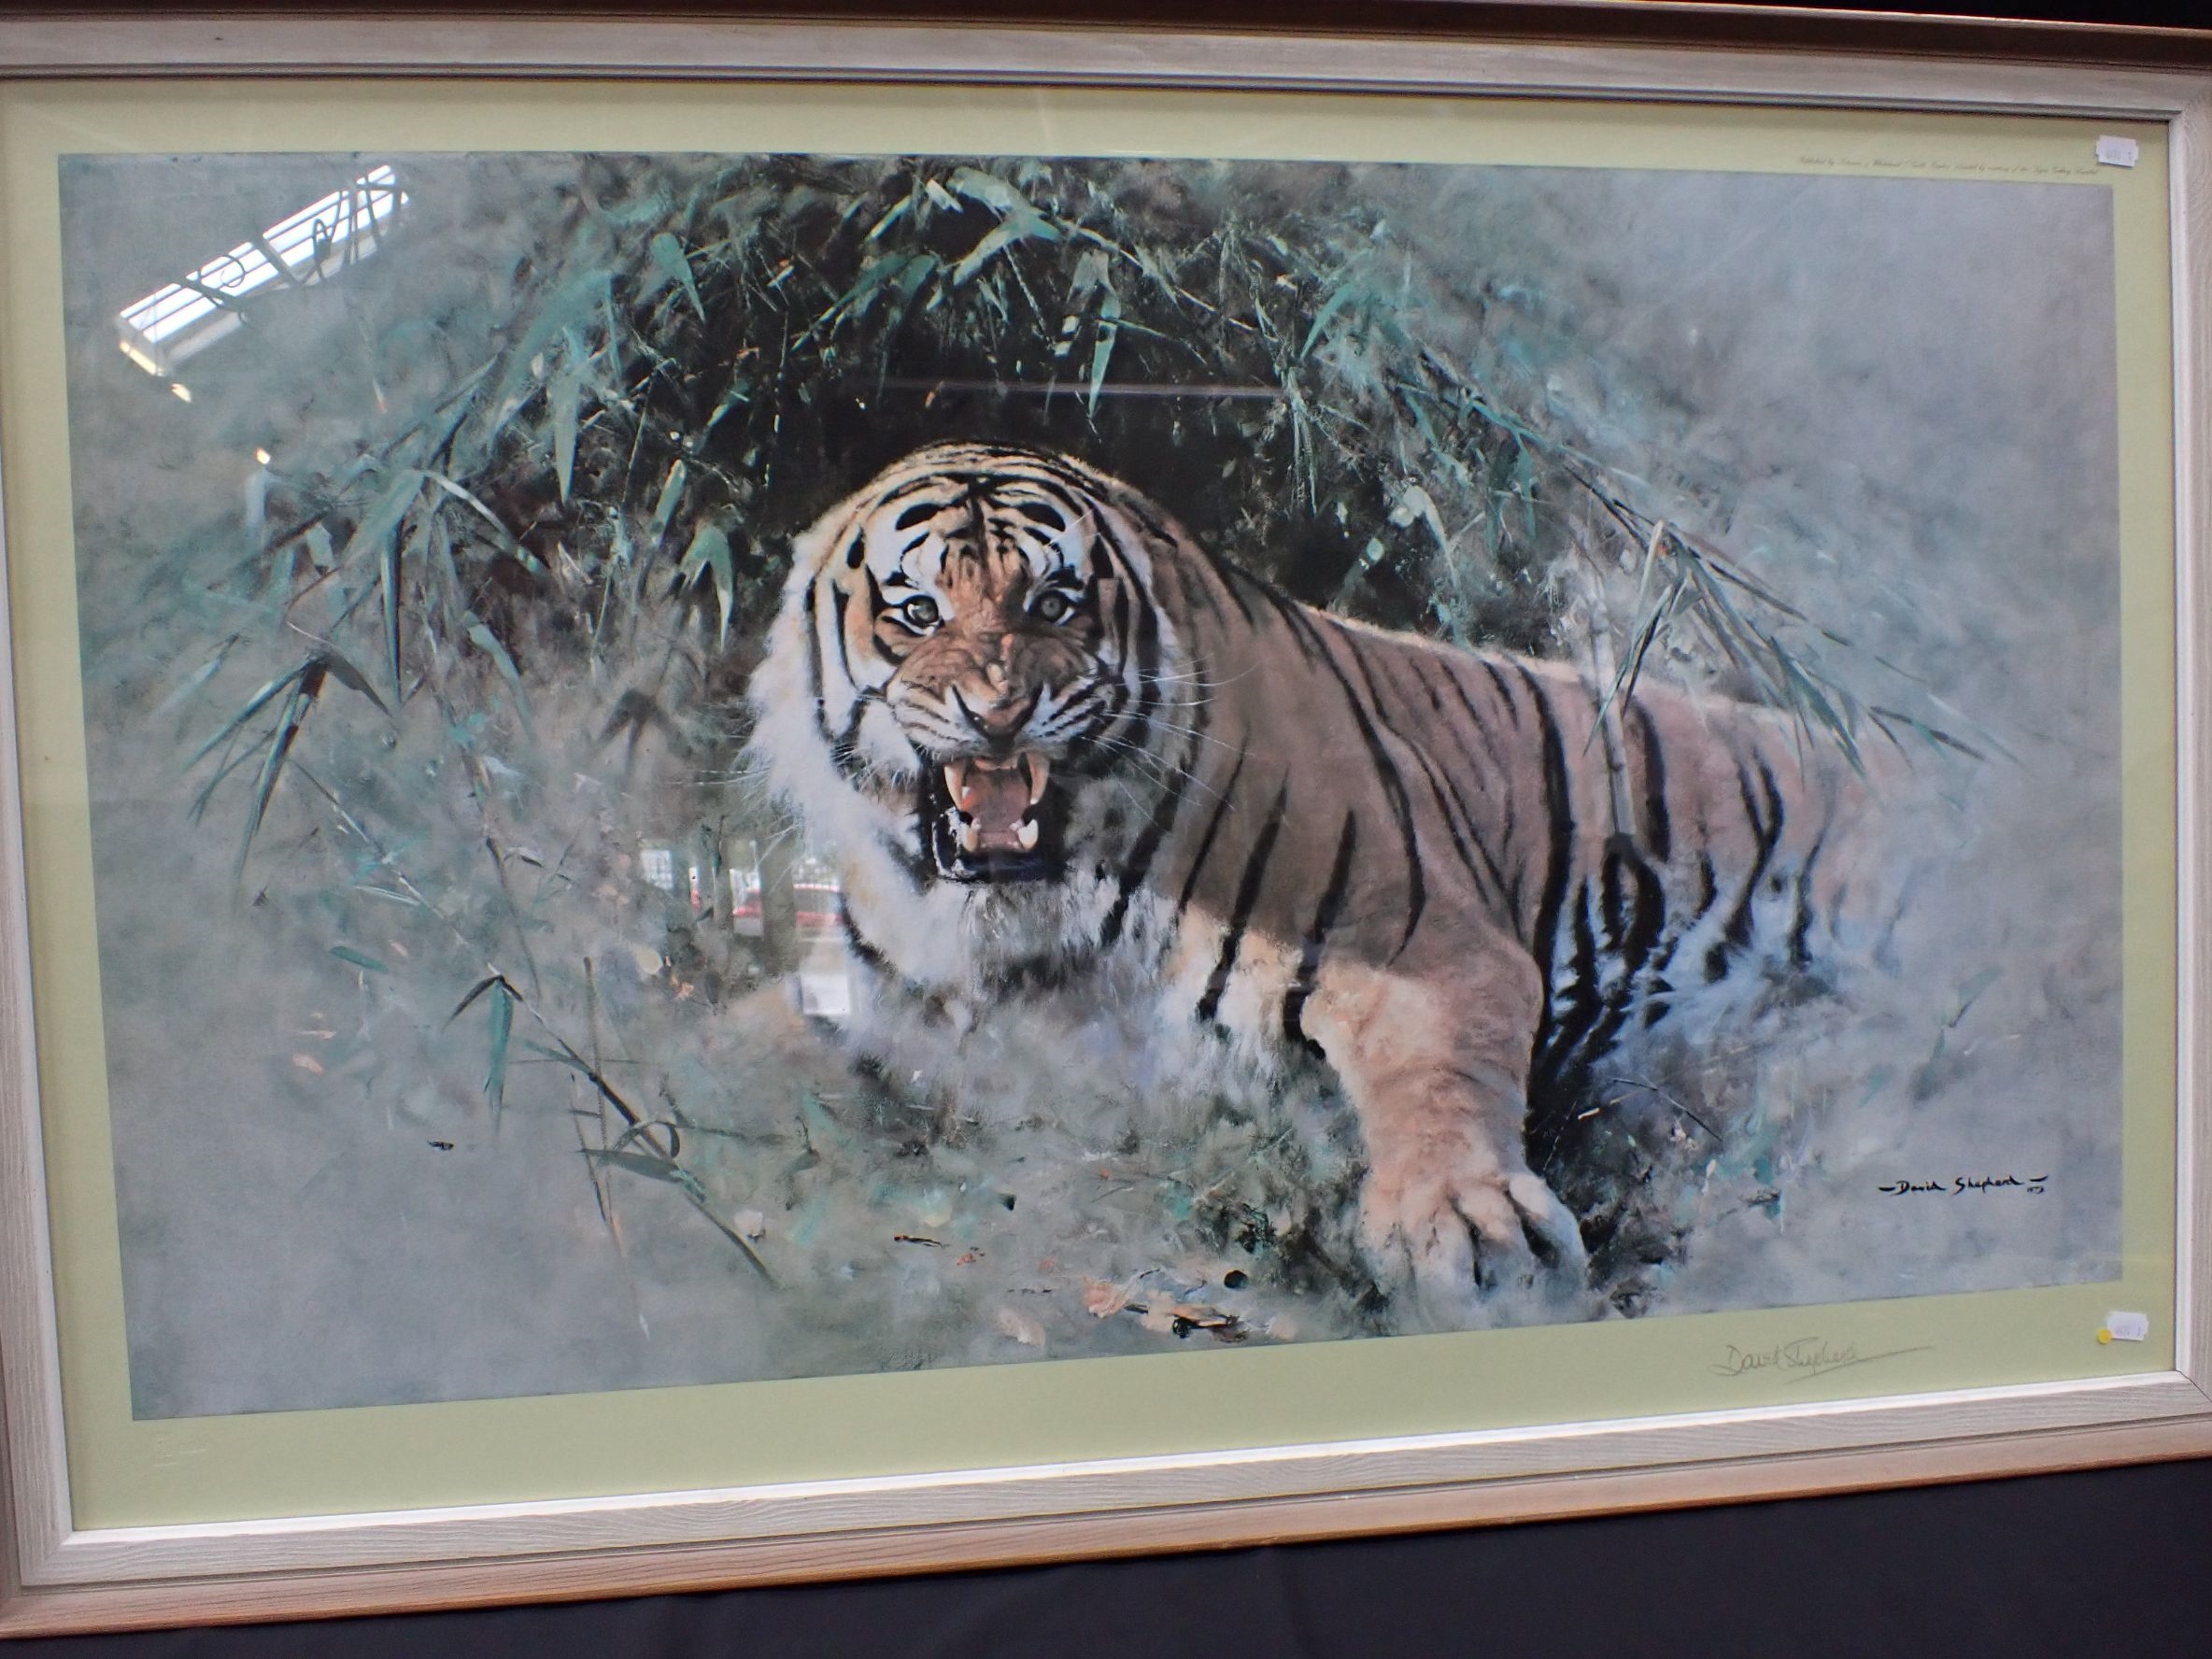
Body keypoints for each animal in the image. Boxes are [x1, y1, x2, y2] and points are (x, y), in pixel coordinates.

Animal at [748, 441, 1874, 1314]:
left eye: (1055, 602)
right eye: (918, 611)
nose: (997, 712)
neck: (1040, 919)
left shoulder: (1426, 943)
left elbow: (1436, 1082)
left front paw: (1470, 1230)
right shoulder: (859, 993)